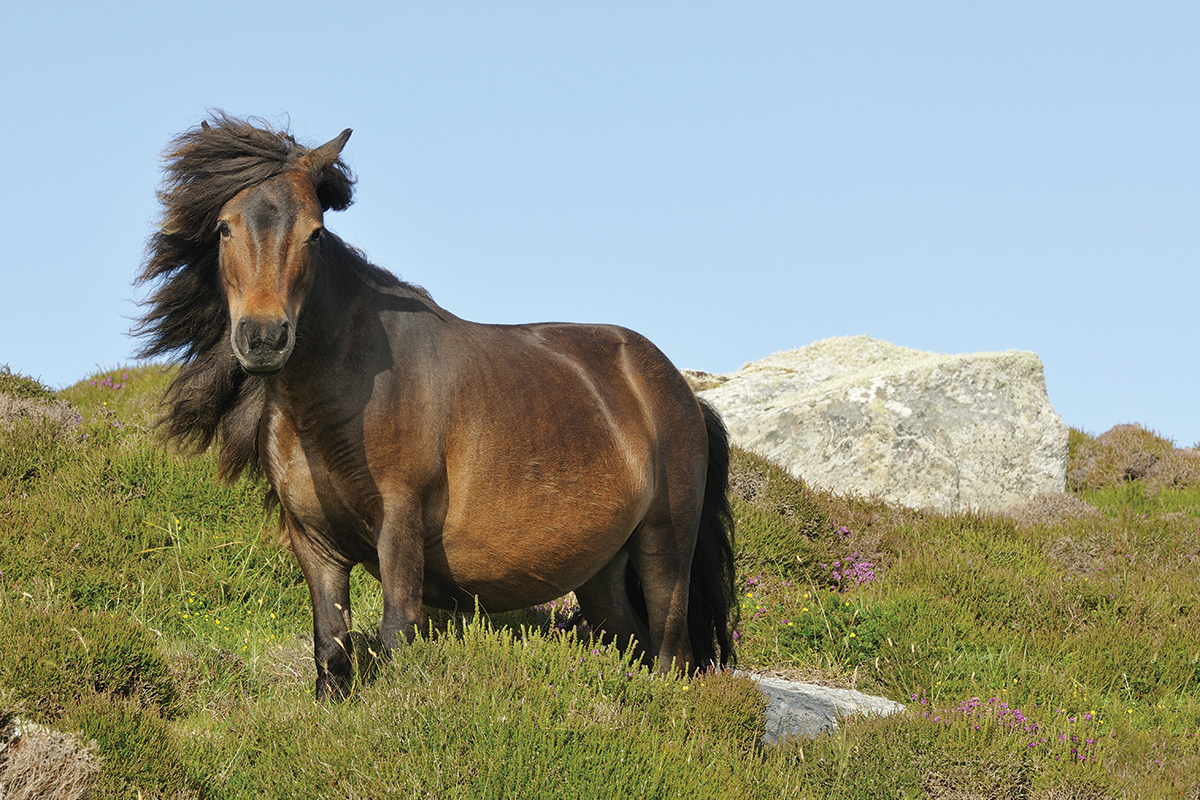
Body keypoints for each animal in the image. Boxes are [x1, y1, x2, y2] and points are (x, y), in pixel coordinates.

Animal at [135, 113, 737, 700]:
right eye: (224, 227)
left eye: (315, 232)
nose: (263, 339)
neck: (338, 399)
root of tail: (678, 390)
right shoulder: (315, 544)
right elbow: (331, 650)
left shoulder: (399, 526)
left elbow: (396, 636)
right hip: (603, 575)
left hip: (664, 550)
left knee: (672, 655)